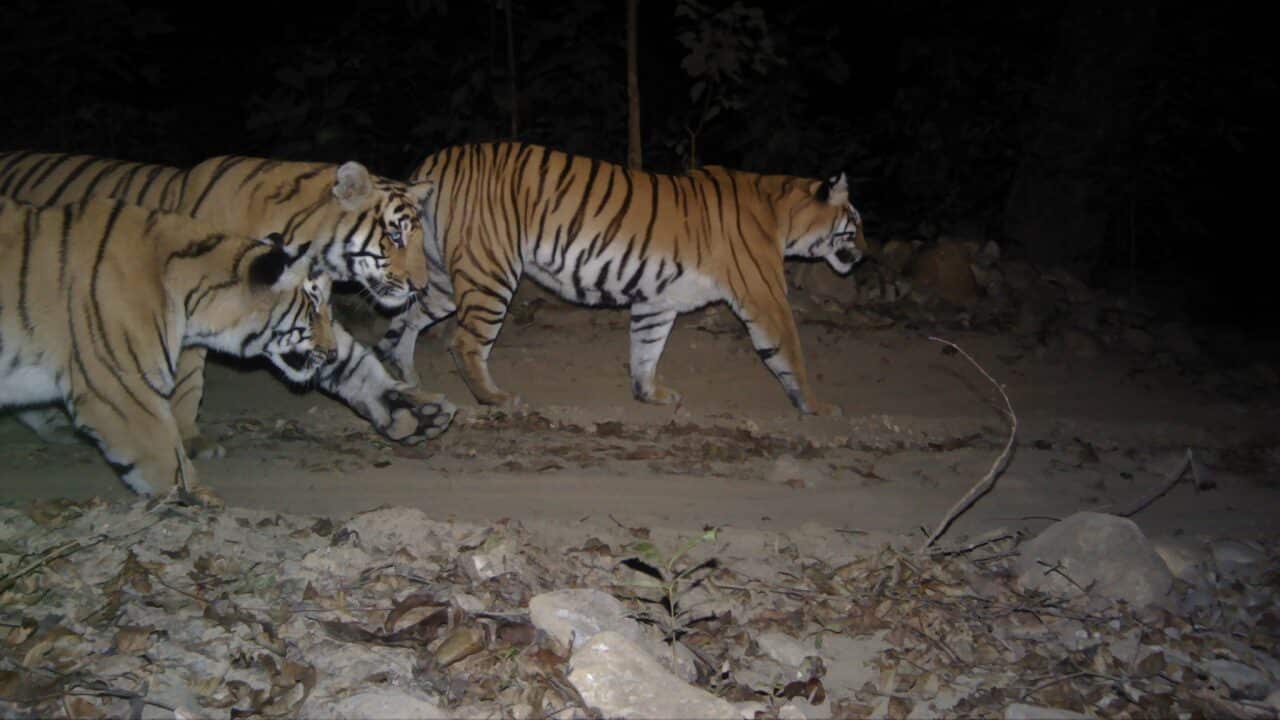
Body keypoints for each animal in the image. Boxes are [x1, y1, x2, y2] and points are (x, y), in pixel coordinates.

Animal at [0, 151, 457, 450]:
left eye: (417, 237)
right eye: (394, 235)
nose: (419, 286)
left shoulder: (307, 310)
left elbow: (349, 360)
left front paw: (410, 414)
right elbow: (187, 379)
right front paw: (190, 439)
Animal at [377, 142, 866, 416]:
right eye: (856, 222)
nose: (864, 253)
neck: (782, 214)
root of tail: (434, 162)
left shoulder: (658, 300)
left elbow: (646, 348)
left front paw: (649, 394)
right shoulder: (765, 296)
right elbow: (790, 354)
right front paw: (817, 407)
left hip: (440, 276)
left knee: (404, 322)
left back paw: (407, 378)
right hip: (490, 270)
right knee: (463, 341)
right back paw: (494, 398)